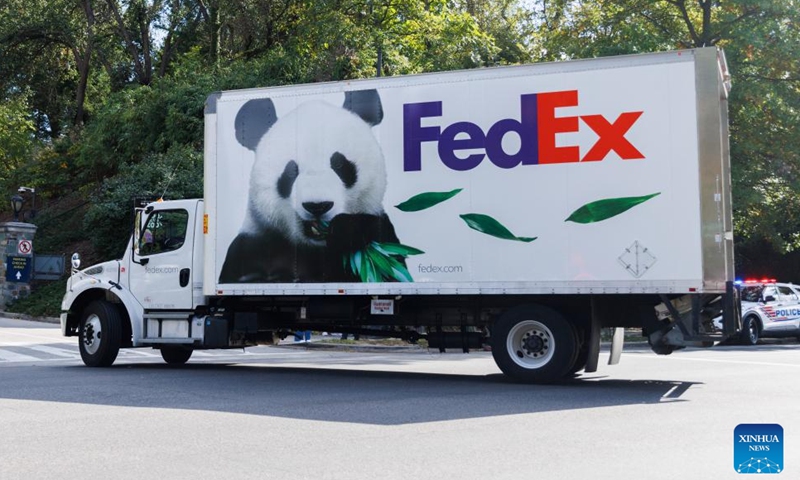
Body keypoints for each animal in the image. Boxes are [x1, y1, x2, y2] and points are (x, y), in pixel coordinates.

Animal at [219, 89, 403, 283]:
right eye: (291, 171)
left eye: (340, 164)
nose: (317, 206)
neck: (314, 248)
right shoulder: (252, 246)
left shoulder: (382, 237)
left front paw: (346, 229)